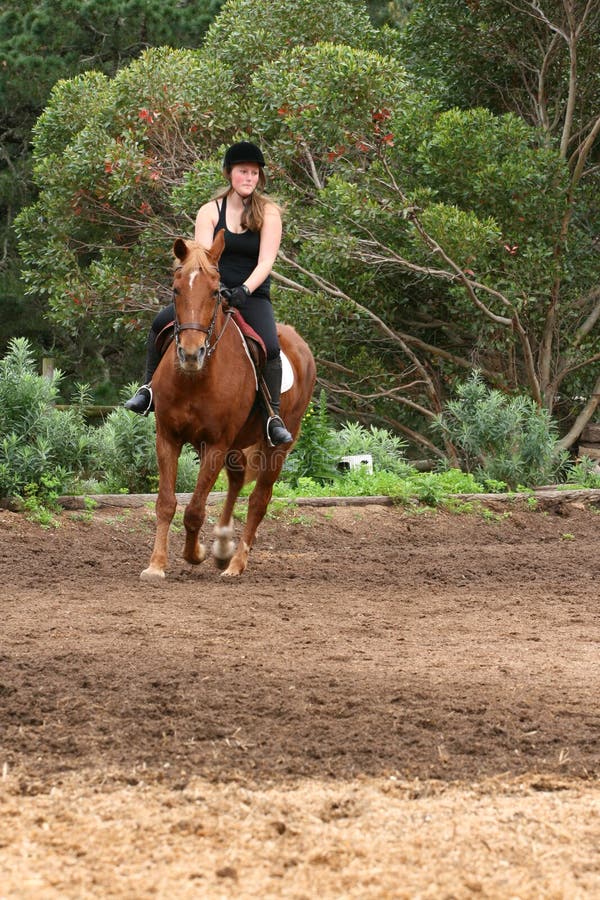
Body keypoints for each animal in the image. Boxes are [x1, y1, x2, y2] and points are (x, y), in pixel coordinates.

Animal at [140, 230, 316, 580]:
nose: (191, 354)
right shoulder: (168, 436)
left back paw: (235, 564)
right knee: (236, 480)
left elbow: (195, 509)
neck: (195, 378)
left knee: (259, 500)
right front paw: (156, 565)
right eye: (176, 290)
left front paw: (194, 554)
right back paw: (223, 546)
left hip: (276, 445)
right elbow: (166, 502)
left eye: (213, 292)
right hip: (235, 442)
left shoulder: (216, 443)